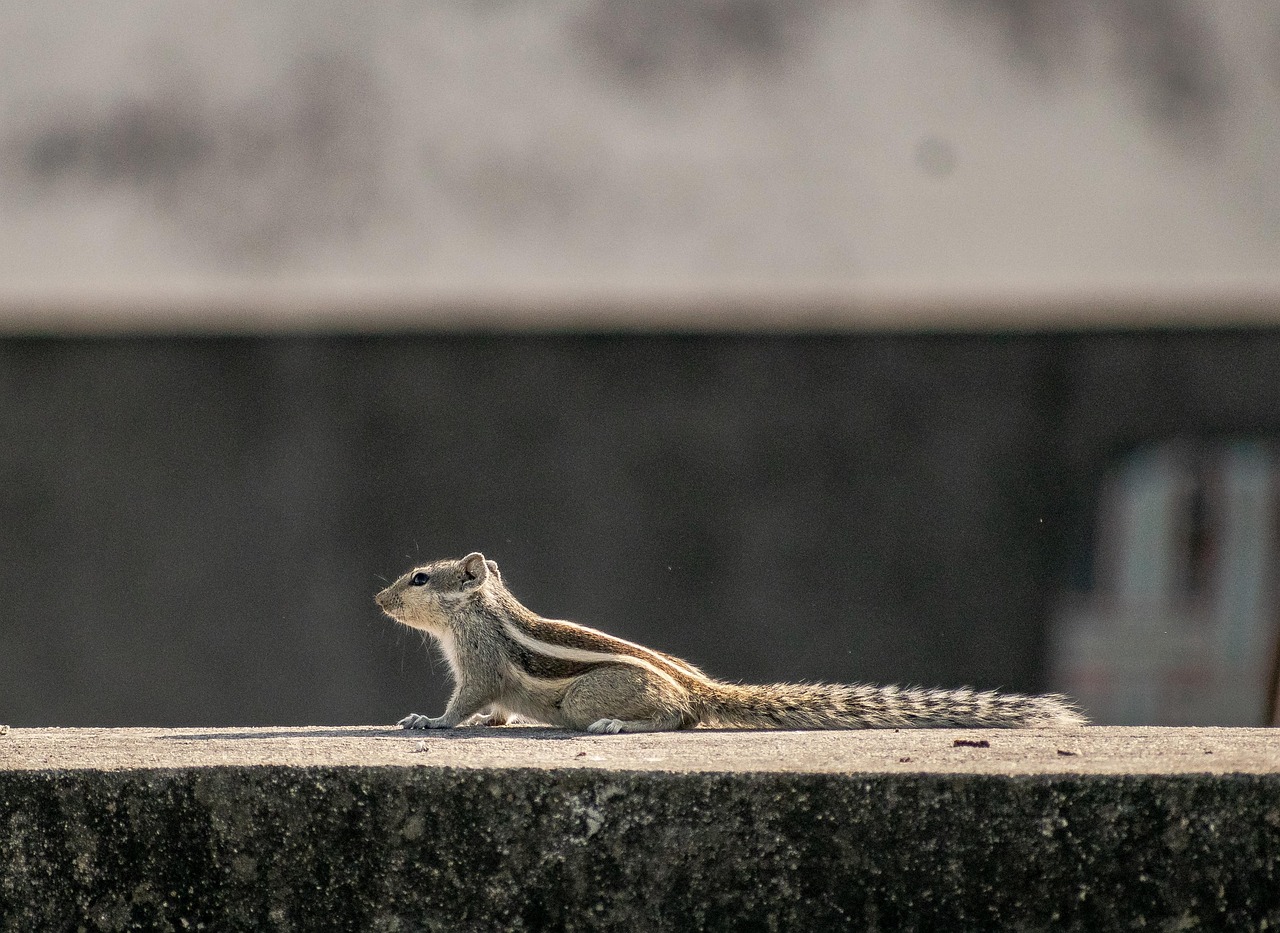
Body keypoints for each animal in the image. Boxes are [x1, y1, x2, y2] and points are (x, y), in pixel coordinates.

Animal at [375, 552, 1087, 733]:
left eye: (419, 578)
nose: (378, 600)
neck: (472, 615)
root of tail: (702, 688)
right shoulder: (486, 674)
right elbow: (491, 708)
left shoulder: (478, 665)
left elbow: (466, 702)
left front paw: (428, 722)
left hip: (591, 698)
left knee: (677, 719)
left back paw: (620, 725)